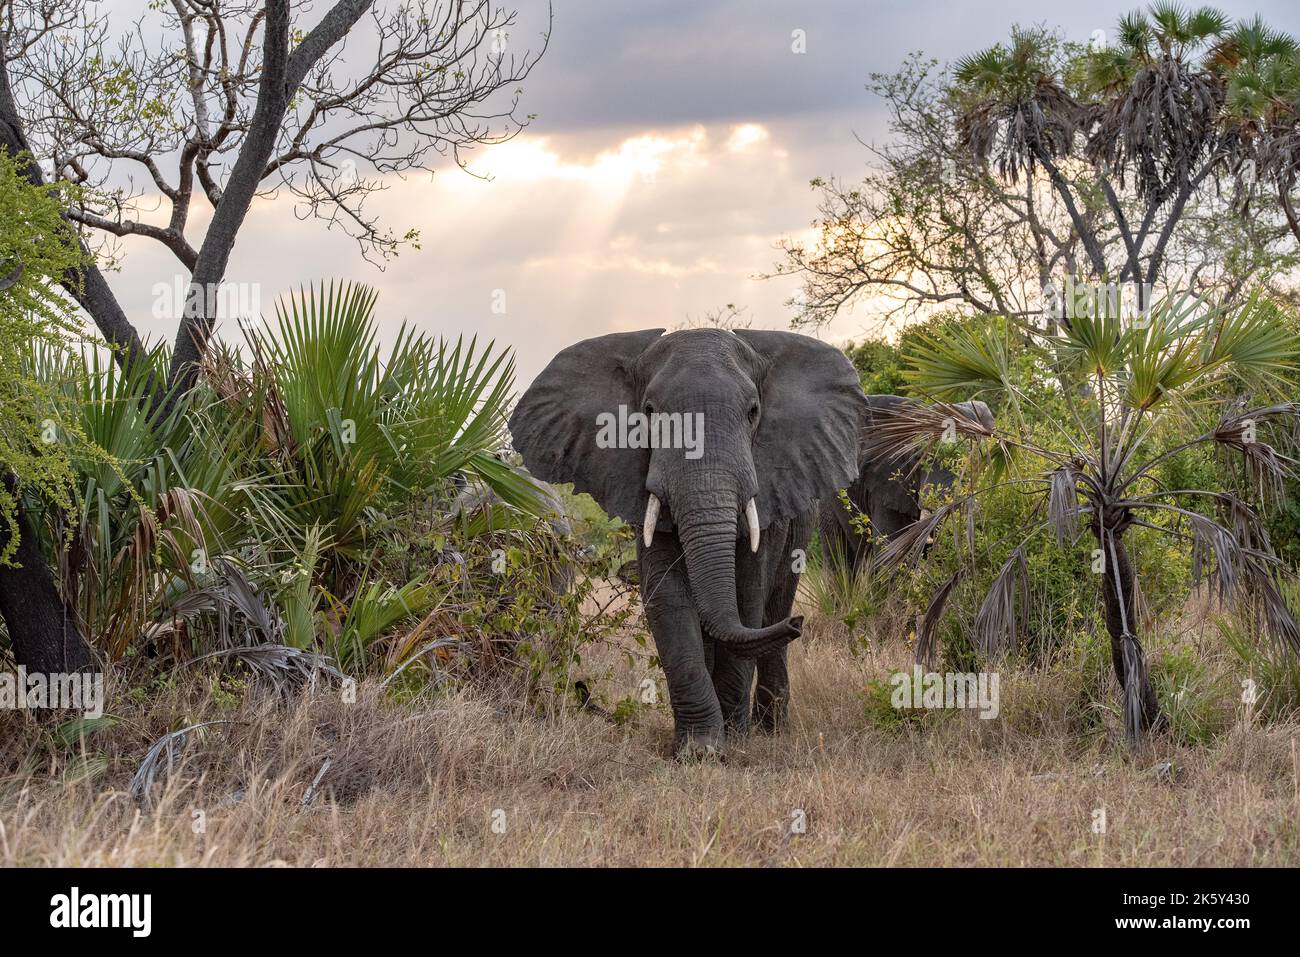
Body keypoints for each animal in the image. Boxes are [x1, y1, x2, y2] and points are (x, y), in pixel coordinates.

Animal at [510, 328, 867, 759]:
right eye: (648, 412)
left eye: (753, 411)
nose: (799, 624)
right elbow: (668, 598)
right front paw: (701, 750)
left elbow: (748, 596)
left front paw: (734, 741)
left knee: (773, 605)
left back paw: (771, 728)